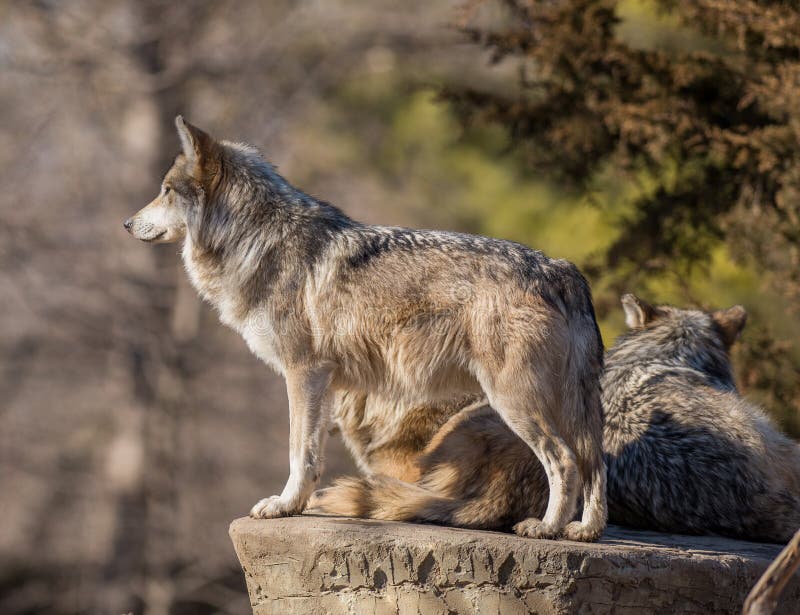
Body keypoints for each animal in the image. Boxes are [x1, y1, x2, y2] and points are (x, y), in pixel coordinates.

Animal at [123, 117, 607, 541]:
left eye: (165, 191)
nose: (126, 223)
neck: (256, 241)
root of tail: (562, 269)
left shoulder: (303, 373)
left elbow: (297, 450)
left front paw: (281, 505)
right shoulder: (325, 384)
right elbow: (312, 455)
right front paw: (296, 506)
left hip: (515, 402)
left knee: (566, 461)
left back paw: (547, 529)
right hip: (568, 407)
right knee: (594, 461)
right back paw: (585, 531)